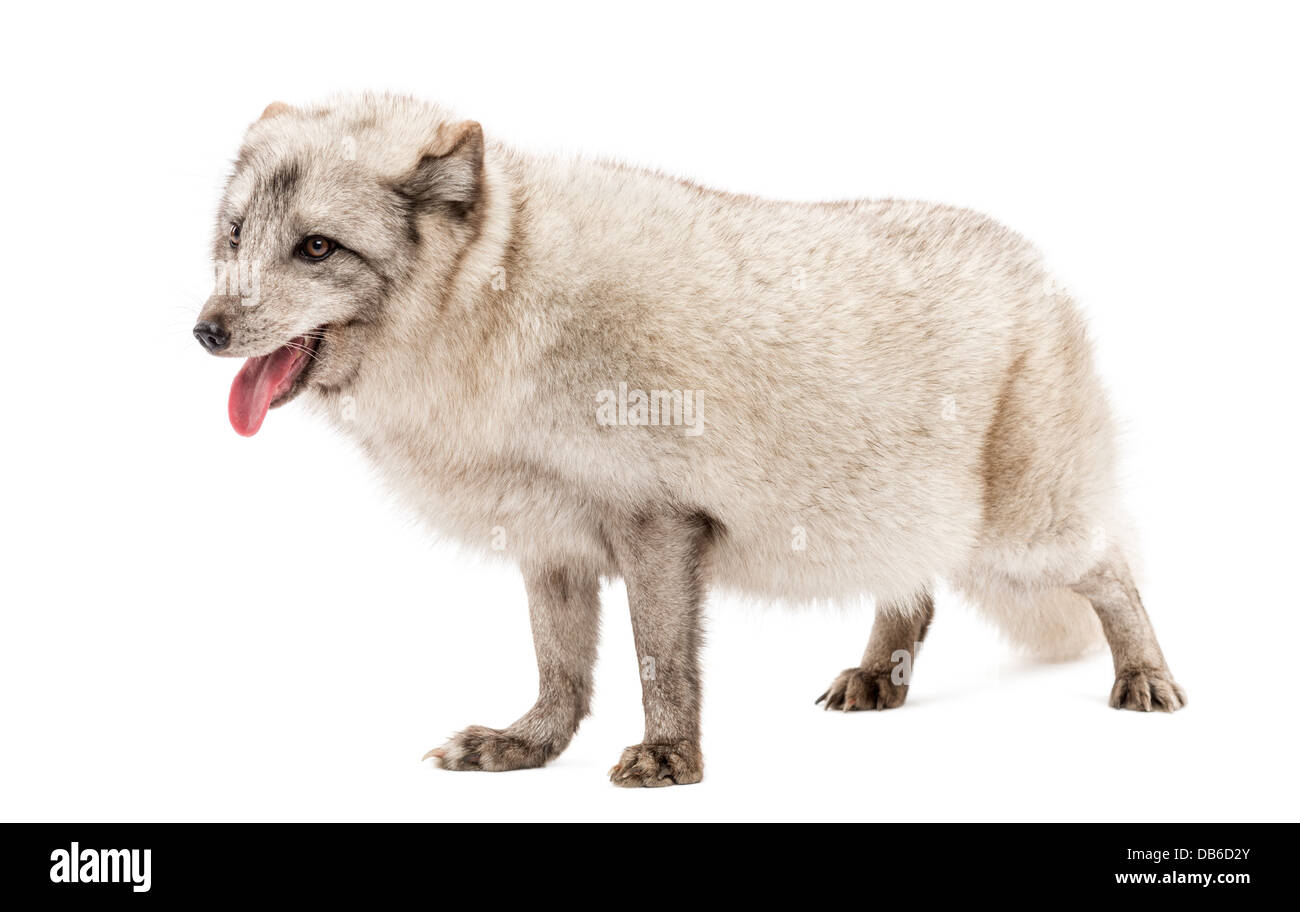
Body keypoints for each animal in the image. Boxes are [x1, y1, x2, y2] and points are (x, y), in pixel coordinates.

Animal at [194, 93, 1184, 787]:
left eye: (317, 249)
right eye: (236, 236)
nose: (204, 331)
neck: (506, 308)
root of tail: (1040, 271)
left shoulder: (659, 522)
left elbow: (659, 662)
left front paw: (671, 760)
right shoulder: (552, 542)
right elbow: (561, 669)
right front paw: (526, 746)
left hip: (1027, 535)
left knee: (1115, 566)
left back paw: (1145, 675)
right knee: (916, 595)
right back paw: (879, 679)